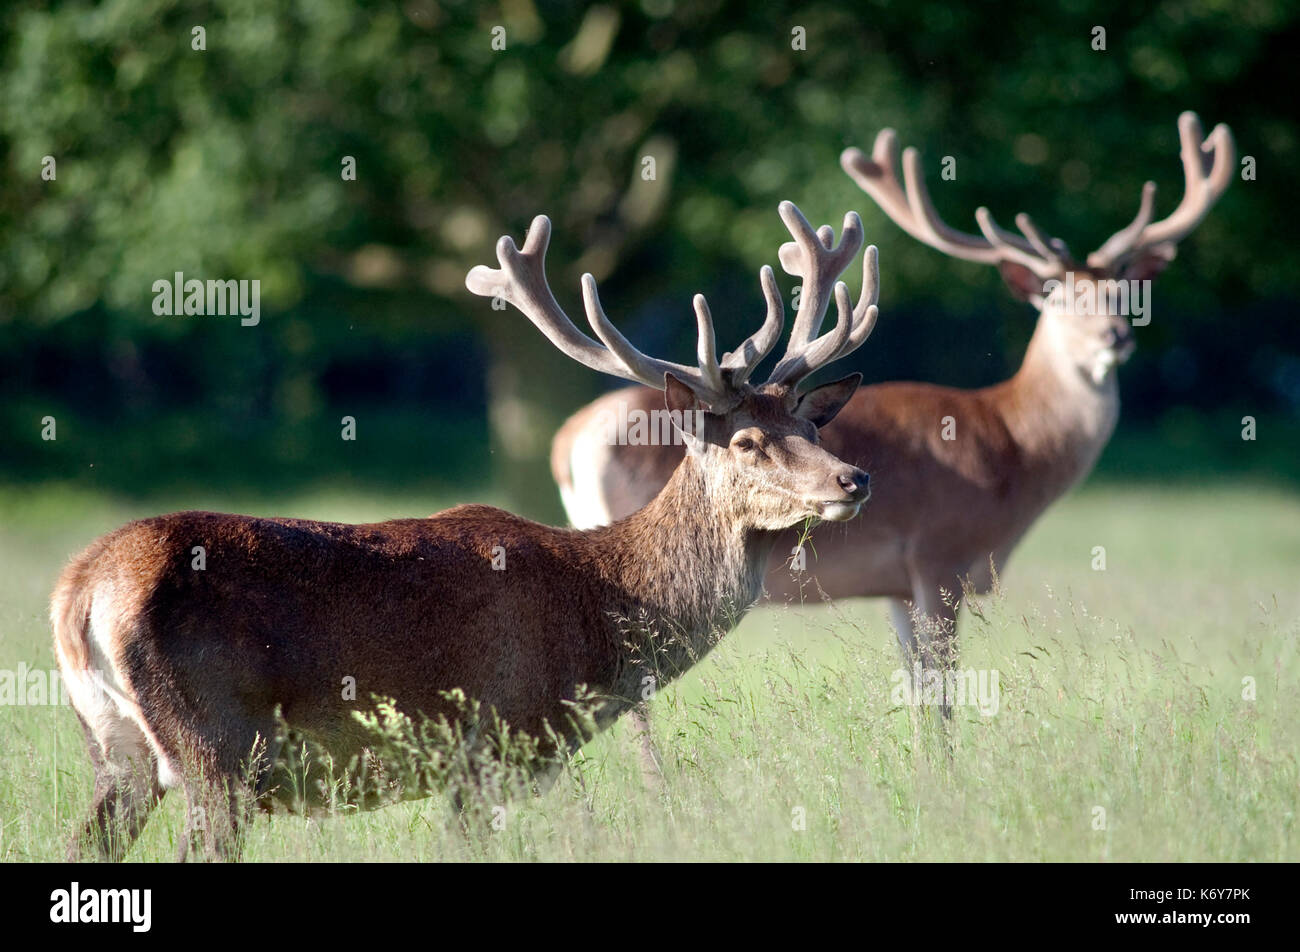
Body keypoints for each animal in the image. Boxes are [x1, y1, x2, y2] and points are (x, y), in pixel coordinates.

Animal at [51, 200, 878, 861]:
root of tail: (80, 590)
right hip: (218, 750)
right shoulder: (487, 746)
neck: (600, 617)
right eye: (748, 442)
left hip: (117, 751)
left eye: (809, 423)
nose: (853, 479)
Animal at [551, 112, 1235, 714]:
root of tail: (566, 441)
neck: (1015, 450)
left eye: (1126, 291)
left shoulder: (895, 585)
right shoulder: (938, 555)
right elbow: (944, 696)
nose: (1116, 337)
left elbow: (916, 694)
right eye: (1057, 296)